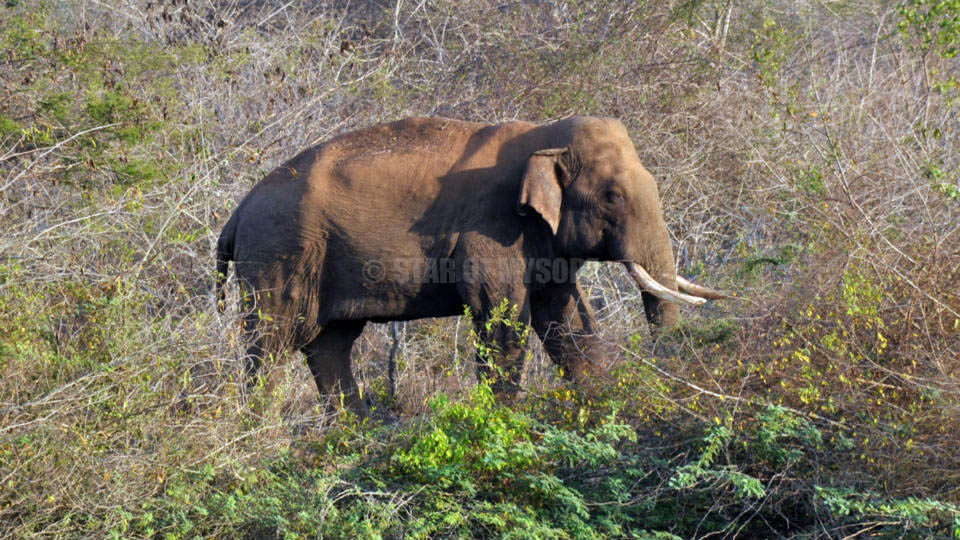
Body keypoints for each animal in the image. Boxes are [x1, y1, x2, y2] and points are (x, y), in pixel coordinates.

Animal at [215, 116, 727, 413]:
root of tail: (237, 212)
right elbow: (500, 318)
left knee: (330, 344)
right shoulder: (491, 228)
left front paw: (598, 405)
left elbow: (564, 318)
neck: (543, 135)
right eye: (612, 197)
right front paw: (501, 421)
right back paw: (260, 431)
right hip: (279, 254)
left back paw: (352, 433)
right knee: (273, 341)